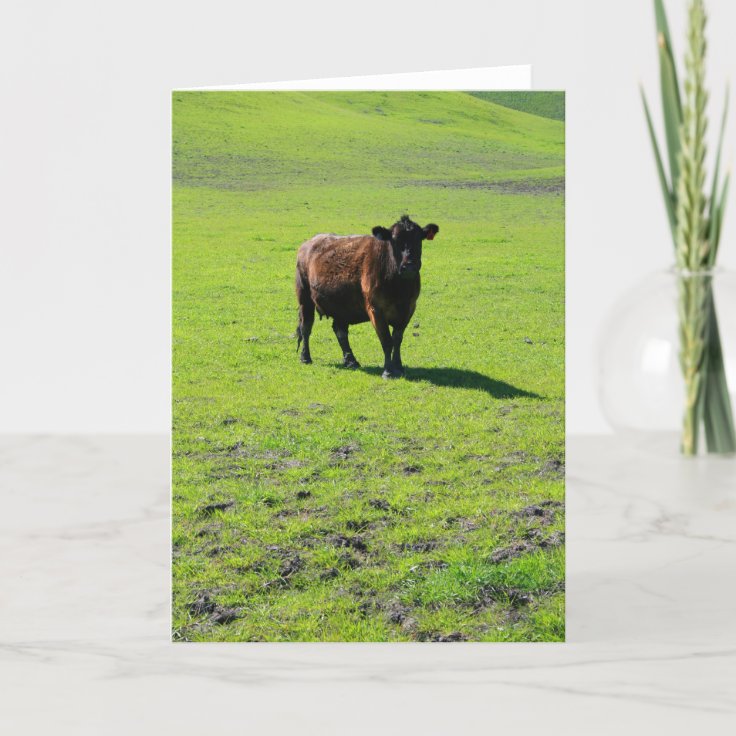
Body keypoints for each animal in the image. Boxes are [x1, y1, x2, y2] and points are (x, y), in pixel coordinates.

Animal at [295, 215, 439, 378]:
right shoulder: (375, 309)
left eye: (419, 239)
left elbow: (397, 339)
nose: (409, 266)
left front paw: (399, 367)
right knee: (306, 327)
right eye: (395, 240)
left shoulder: (408, 308)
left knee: (340, 331)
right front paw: (388, 371)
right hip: (304, 298)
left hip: (341, 307)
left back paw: (350, 361)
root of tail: (309, 242)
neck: (399, 288)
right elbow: (387, 341)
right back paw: (305, 357)